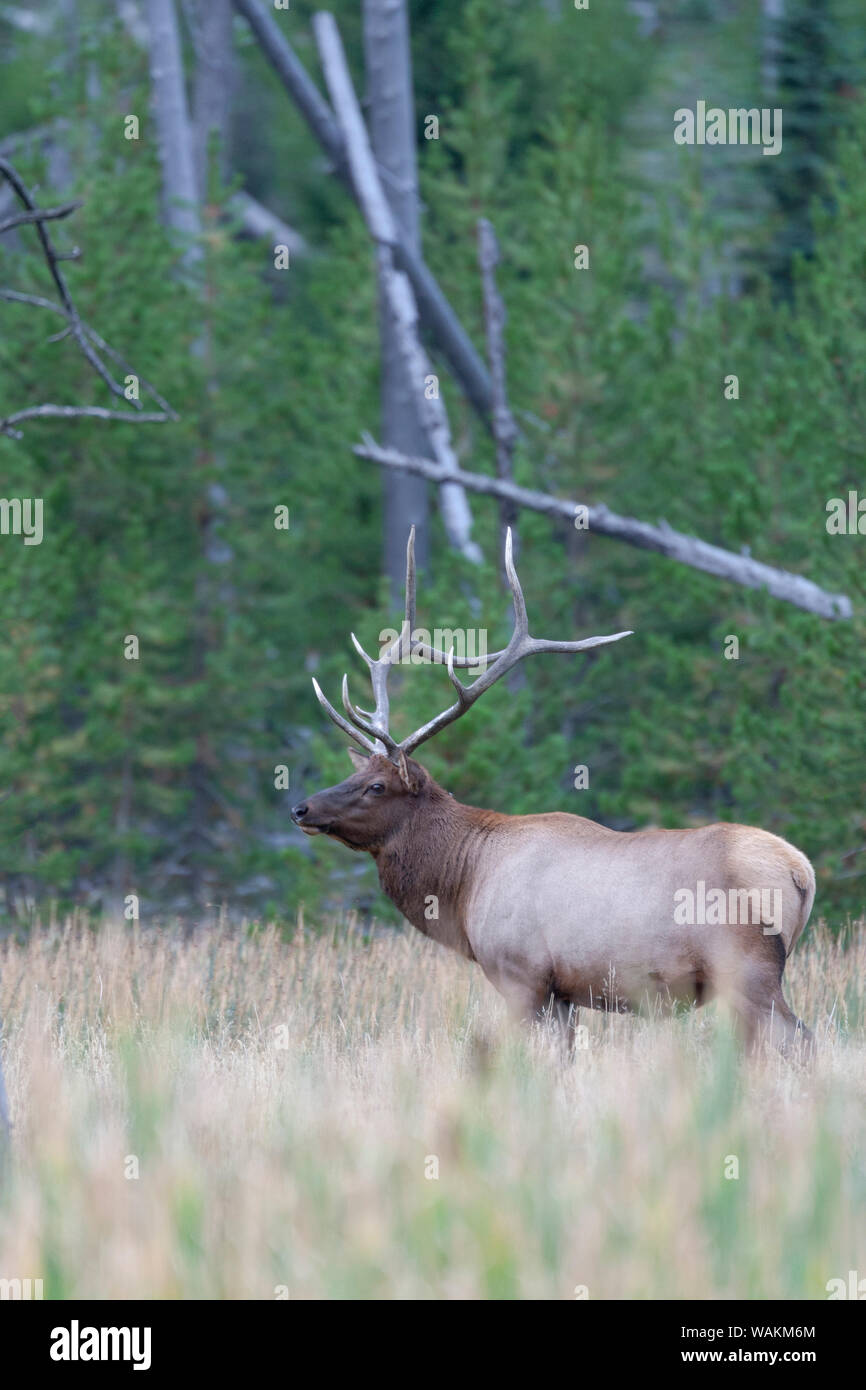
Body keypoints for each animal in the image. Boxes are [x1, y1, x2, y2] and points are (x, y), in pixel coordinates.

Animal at [292, 529, 815, 1055]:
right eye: (357, 773)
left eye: (376, 786)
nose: (301, 807)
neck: (464, 879)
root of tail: (801, 870)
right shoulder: (564, 992)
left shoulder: (521, 974)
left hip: (748, 968)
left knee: (800, 1039)